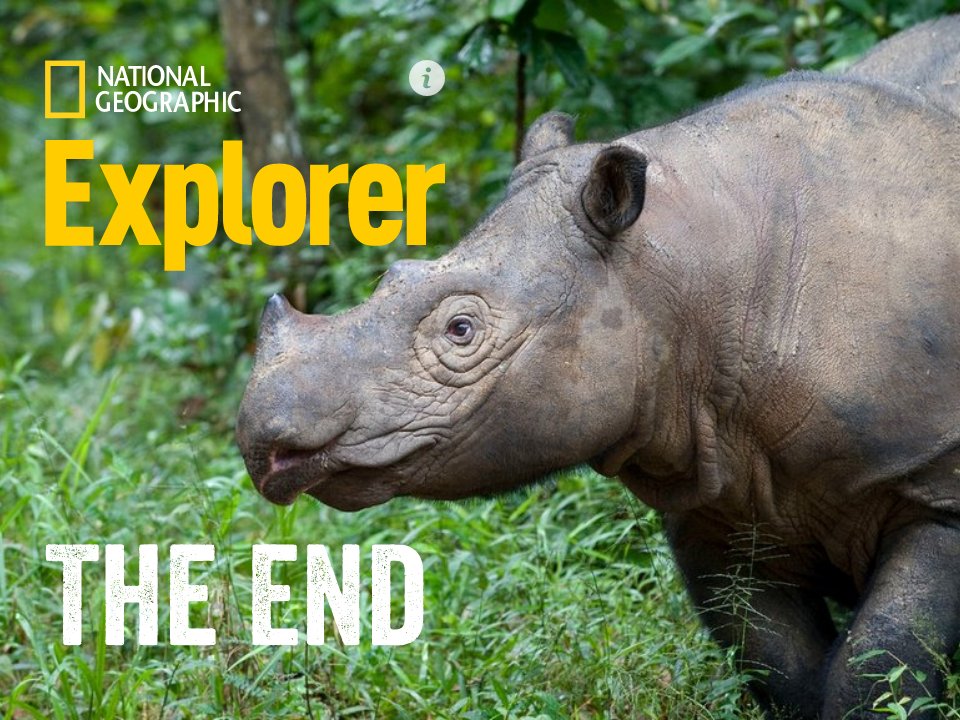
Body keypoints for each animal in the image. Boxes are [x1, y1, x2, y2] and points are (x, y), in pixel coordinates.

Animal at [236, 21, 960, 720]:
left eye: (461, 330)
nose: (258, 438)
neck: (683, 272)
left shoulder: (936, 487)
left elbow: (878, 667)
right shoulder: (717, 506)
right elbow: (784, 669)